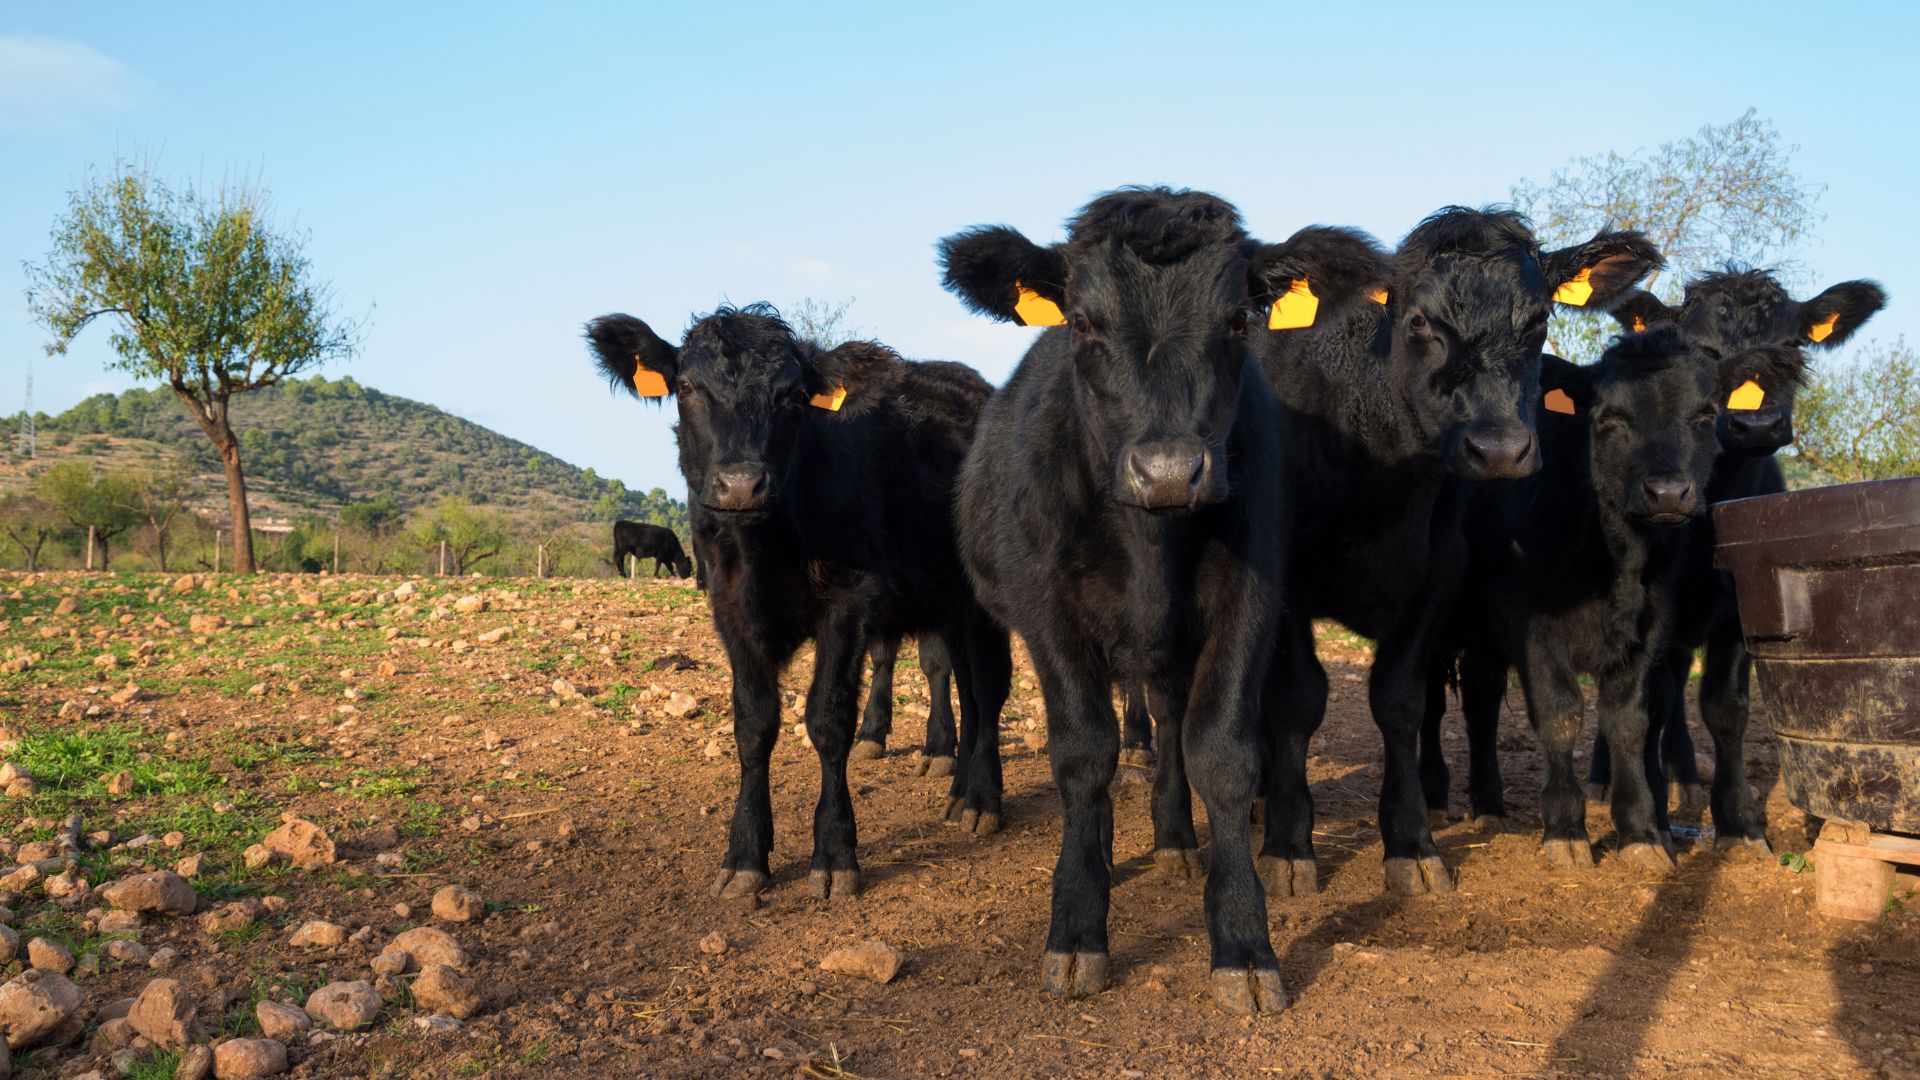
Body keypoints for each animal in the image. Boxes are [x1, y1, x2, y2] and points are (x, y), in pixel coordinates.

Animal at [583, 304, 1012, 904]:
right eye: (686, 386)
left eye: (793, 397)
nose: (741, 484)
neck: (765, 549)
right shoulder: (730, 612)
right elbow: (753, 724)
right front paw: (744, 854)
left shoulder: (851, 603)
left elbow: (828, 721)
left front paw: (834, 853)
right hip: (946, 600)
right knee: (967, 688)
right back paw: (957, 788)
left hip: (984, 592)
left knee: (989, 688)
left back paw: (981, 800)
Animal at [939, 186, 1298, 1014]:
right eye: (1082, 320)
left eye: (1239, 319)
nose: (1167, 470)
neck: (1149, 540)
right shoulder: (1049, 615)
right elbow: (1083, 753)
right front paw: (1077, 925)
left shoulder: (1250, 601)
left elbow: (1219, 752)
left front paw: (1244, 942)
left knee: (1165, 719)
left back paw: (1172, 838)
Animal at [1141, 210, 1657, 897]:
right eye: (1418, 321)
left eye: (1538, 321)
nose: (1499, 449)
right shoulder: (1286, 583)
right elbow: (1298, 701)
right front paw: (1288, 845)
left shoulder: (1434, 581)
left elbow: (1401, 703)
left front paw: (1412, 843)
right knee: (1174, 704)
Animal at [1430, 329, 1726, 870]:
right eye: (1608, 417)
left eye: (1705, 415)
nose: (1668, 491)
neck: (1616, 560)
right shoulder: (1529, 623)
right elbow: (1561, 714)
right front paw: (1566, 831)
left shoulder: (1649, 627)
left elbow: (1629, 722)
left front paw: (1640, 834)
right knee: (1430, 706)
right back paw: (1435, 800)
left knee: (1481, 705)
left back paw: (1490, 807)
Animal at [1581, 271, 1885, 847]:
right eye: (1704, 351)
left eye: (1793, 346)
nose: (1757, 425)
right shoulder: (1658, 611)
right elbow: (1649, 703)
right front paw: (1654, 813)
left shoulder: (1745, 608)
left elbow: (1725, 709)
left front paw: (1738, 820)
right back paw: (1603, 778)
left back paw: (1684, 776)